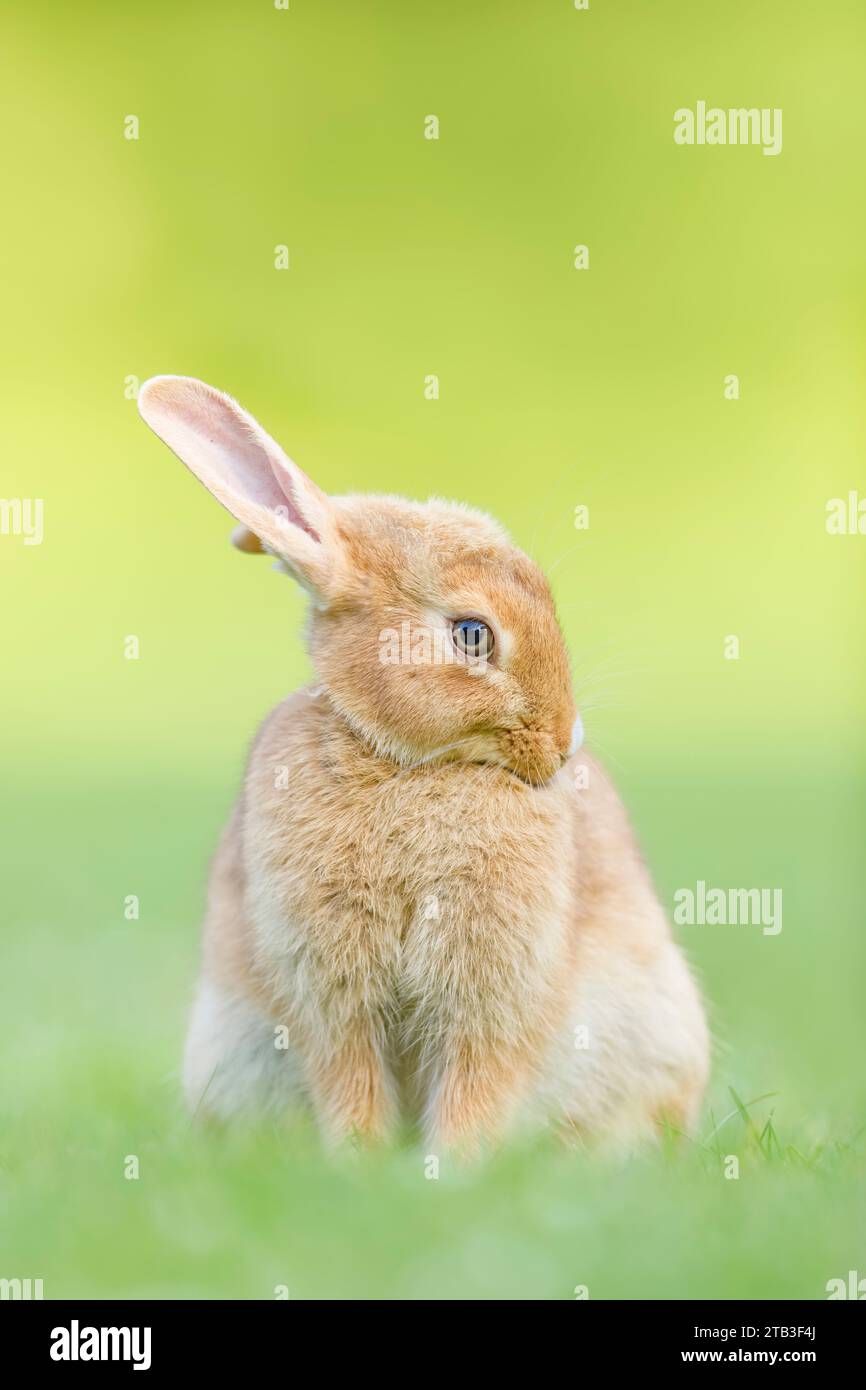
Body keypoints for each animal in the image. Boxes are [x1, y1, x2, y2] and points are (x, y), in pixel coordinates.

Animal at [138, 375, 710, 1152]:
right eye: (471, 635)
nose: (566, 741)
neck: (407, 764)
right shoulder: (329, 994)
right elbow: (352, 1077)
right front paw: (365, 1162)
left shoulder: (492, 992)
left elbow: (477, 1081)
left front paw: (454, 1165)